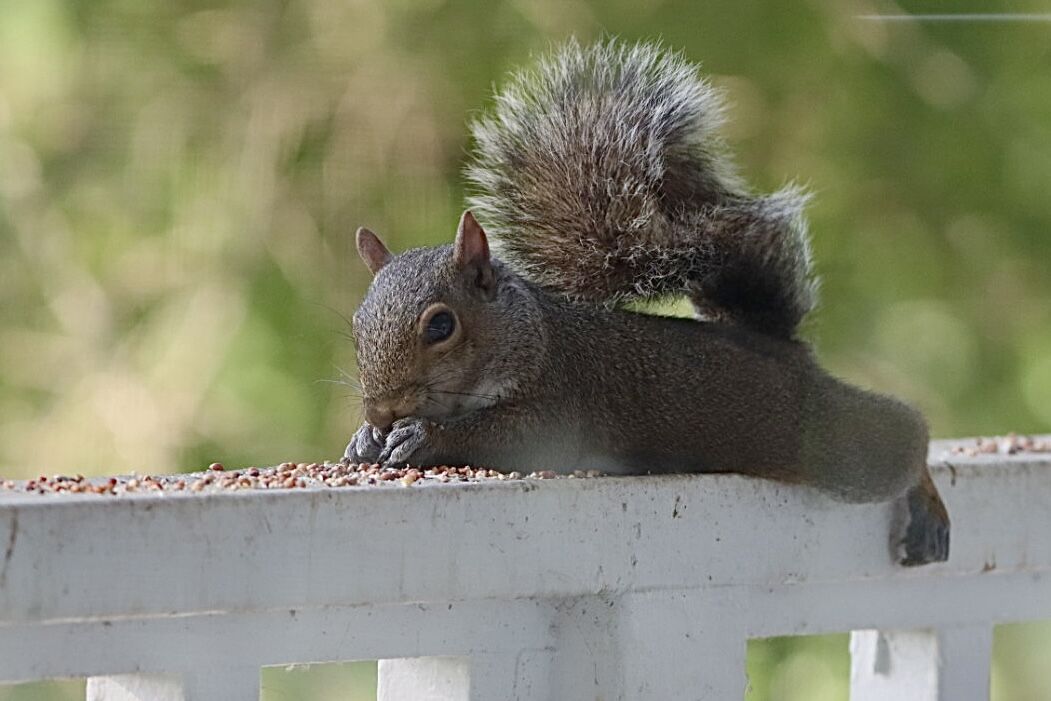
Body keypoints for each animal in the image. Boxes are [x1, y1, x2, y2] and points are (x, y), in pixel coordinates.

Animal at [344, 40, 949, 567]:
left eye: (441, 326)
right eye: (355, 325)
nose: (381, 411)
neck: (529, 333)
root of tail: (776, 344)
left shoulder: (557, 401)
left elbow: (503, 437)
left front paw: (423, 436)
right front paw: (365, 439)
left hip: (829, 439)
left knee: (904, 436)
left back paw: (928, 500)